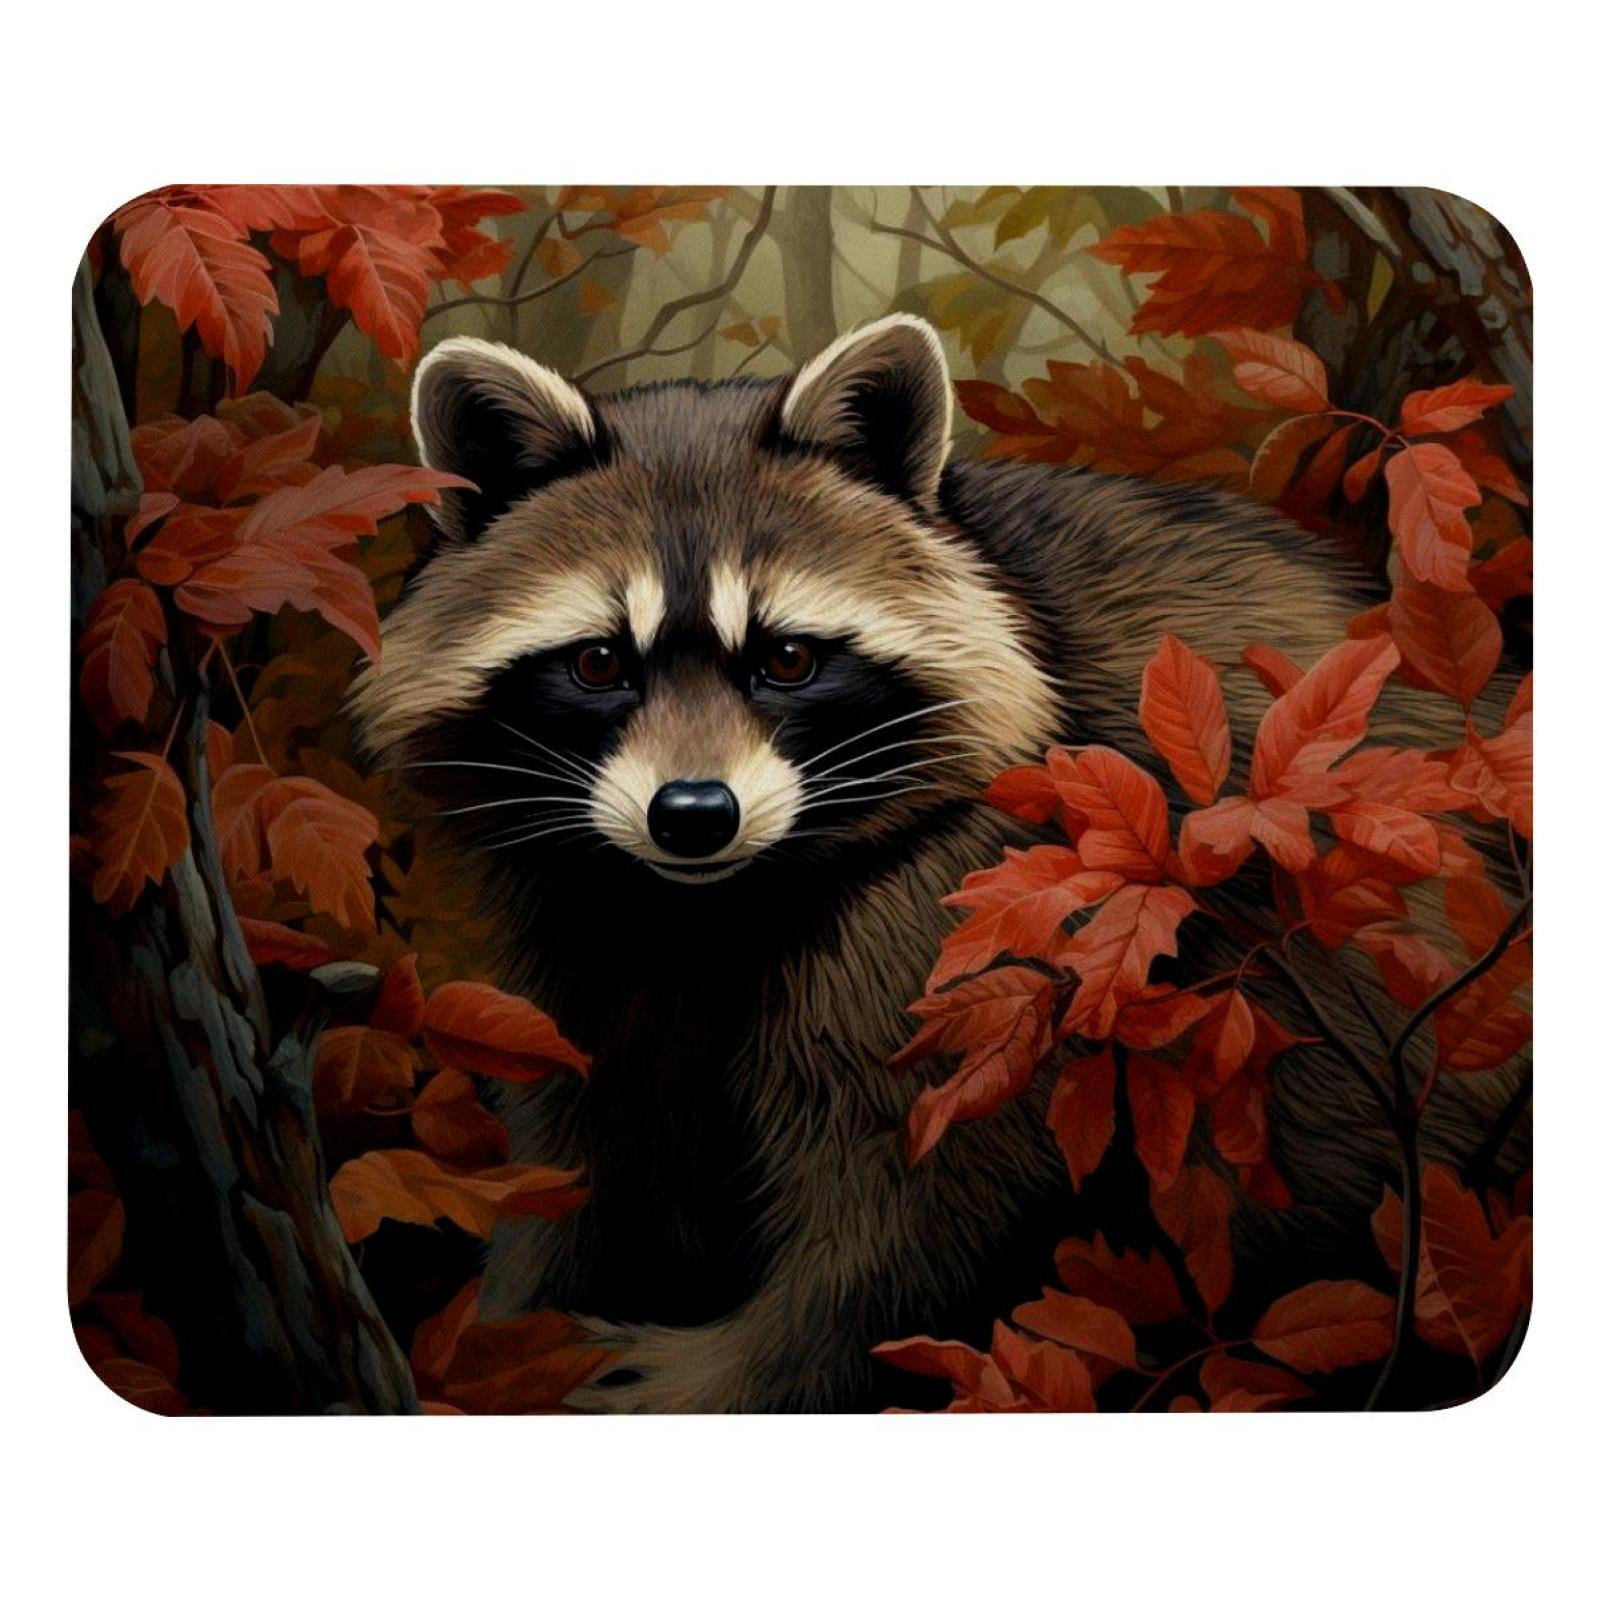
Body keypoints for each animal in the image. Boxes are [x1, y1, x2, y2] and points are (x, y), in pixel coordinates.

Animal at [354, 314, 1524, 1412]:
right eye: (599, 662)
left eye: (787, 657)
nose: (692, 815)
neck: (707, 907)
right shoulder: (581, 915)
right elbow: (578, 1128)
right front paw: (506, 1316)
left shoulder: (973, 903)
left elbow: (917, 1190)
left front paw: (738, 1371)